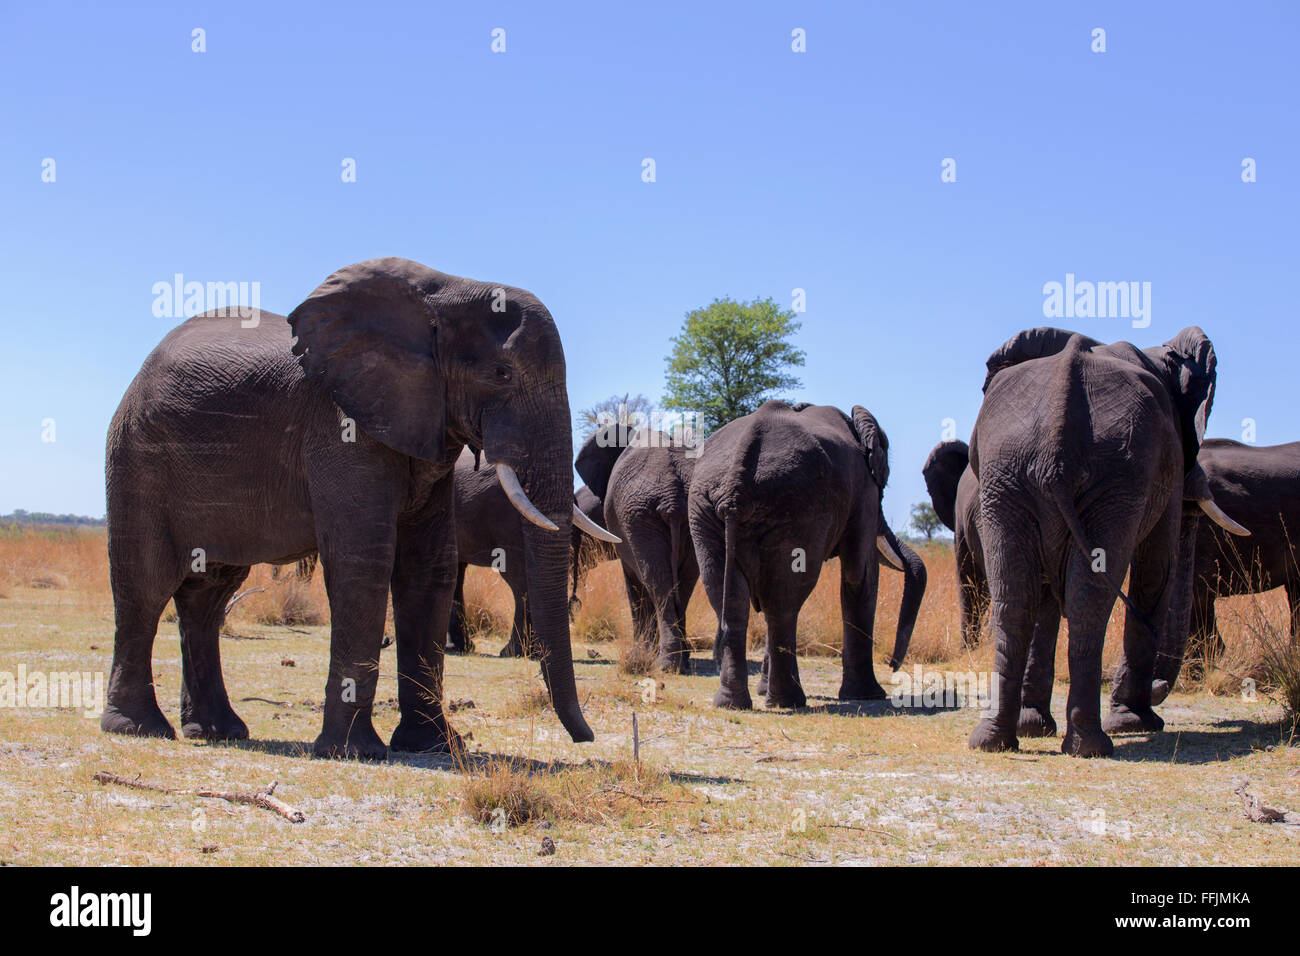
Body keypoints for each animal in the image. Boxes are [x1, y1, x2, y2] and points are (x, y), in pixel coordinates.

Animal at [102, 257, 597, 758]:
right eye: (501, 373)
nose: (585, 737)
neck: (443, 293)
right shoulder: (340, 424)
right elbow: (362, 564)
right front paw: (354, 751)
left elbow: (428, 568)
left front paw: (433, 746)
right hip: (137, 456)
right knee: (146, 586)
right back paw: (138, 727)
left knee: (208, 594)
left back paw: (218, 731)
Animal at [574, 424, 700, 672]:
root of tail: (673, 495)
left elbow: (633, 583)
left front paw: (641, 653)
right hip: (688, 515)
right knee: (685, 582)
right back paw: (680, 660)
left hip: (638, 517)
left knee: (656, 581)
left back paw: (666, 664)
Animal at [687, 401, 927, 709]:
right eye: (883, 483)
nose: (893, 665)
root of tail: (736, 481)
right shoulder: (864, 493)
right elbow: (860, 576)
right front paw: (869, 695)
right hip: (796, 506)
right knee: (782, 601)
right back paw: (787, 702)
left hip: (704, 508)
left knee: (728, 596)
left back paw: (732, 703)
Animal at [964, 326, 1249, 757]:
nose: (1159, 689)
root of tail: (1060, 421)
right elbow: (1156, 568)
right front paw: (1137, 723)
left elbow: (1043, 595)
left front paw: (1034, 728)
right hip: (1113, 474)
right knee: (1088, 602)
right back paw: (1094, 745)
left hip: (1011, 476)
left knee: (1016, 599)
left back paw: (995, 741)